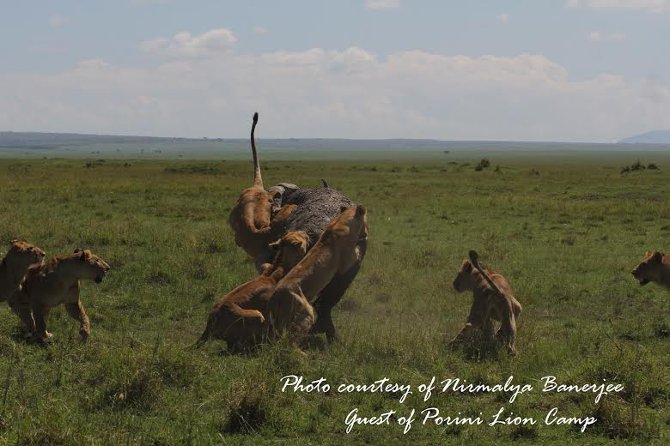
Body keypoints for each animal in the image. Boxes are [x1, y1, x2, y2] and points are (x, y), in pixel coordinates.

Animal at [268, 205, 368, 342]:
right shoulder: (346, 263)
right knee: (290, 338)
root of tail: (276, 294)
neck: (341, 220)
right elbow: (357, 251)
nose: (366, 233)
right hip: (305, 310)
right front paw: (363, 240)